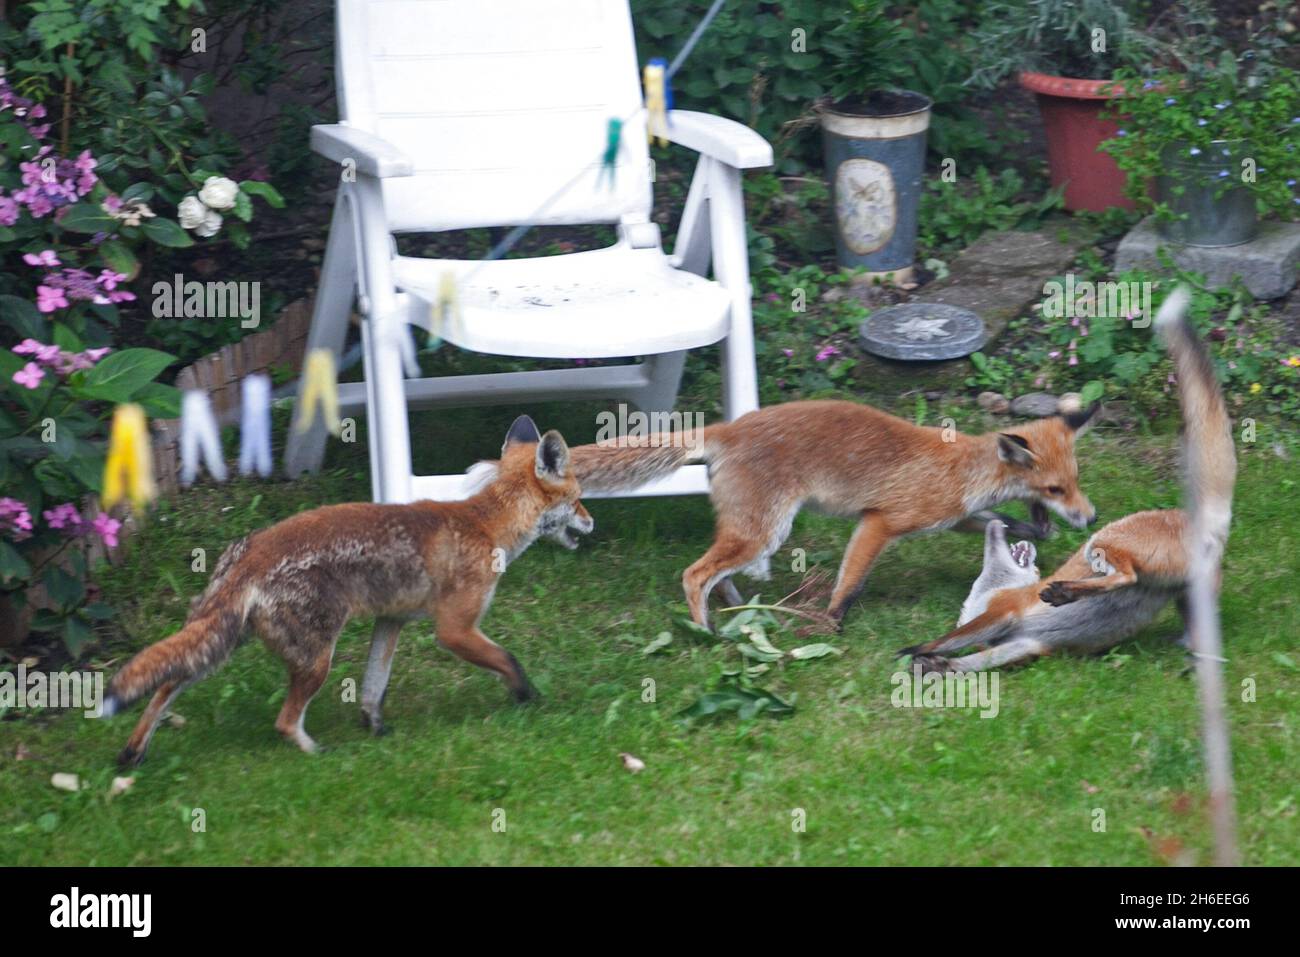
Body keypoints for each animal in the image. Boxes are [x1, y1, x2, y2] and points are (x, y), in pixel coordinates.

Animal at [98, 415, 592, 767]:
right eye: (578, 497)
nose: (591, 523)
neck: (485, 525)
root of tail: (251, 553)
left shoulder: (391, 620)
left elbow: (374, 687)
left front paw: (376, 729)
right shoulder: (455, 629)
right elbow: (508, 660)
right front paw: (529, 699)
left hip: (221, 646)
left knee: (165, 685)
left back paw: (132, 753)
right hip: (316, 658)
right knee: (283, 720)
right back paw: (317, 755)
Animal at [564, 396, 1100, 630]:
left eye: (1075, 482)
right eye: (1055, 488)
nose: (1091, 518)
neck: (961, 471)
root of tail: (727, 428)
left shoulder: (952, 517)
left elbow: (997, 521)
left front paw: (1033, 529)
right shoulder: (880, 521)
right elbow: (852, 579)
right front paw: (832, 621)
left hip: (751, 532)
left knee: (717, 574)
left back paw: (735, 612)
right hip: (765, 532)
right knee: (695, 574)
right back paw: (706, 633)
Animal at [898, 285, 1236, 673]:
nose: (997, 525)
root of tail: (1200, 517)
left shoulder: (1004, 611)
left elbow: (950, 638)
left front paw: (916, 650)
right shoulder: (1024, 646)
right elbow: (967, 662)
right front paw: (936, 667)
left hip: (1100, 544)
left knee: (1126, 576)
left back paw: (1064, 592)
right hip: (1191, 600)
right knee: (1197, 639)